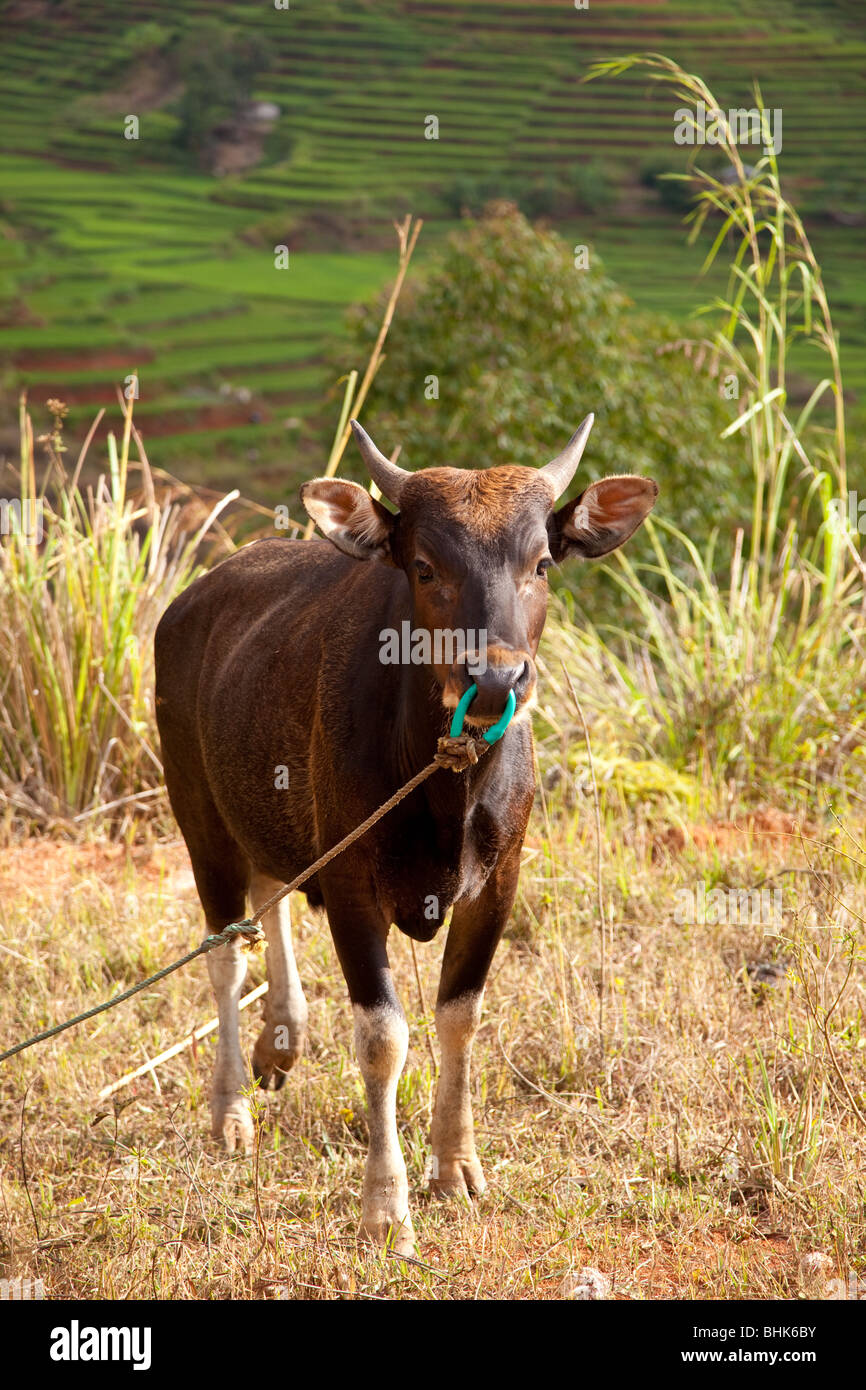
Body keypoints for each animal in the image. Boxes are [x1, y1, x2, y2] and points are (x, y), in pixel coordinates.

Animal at [153, 415, 657, 1255]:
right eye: (425, 566)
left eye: (542, 562)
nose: (495, 680)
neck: (446, 784)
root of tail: (191, 603)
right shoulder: (353, 885)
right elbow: (384, 1038)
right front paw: (386, 1207)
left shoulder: (500, 882)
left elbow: (460, 1016)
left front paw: (455, 1166)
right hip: (200, 820)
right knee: (226, 952)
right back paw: (230, 1111)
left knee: (273, 891)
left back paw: (281, 1037)